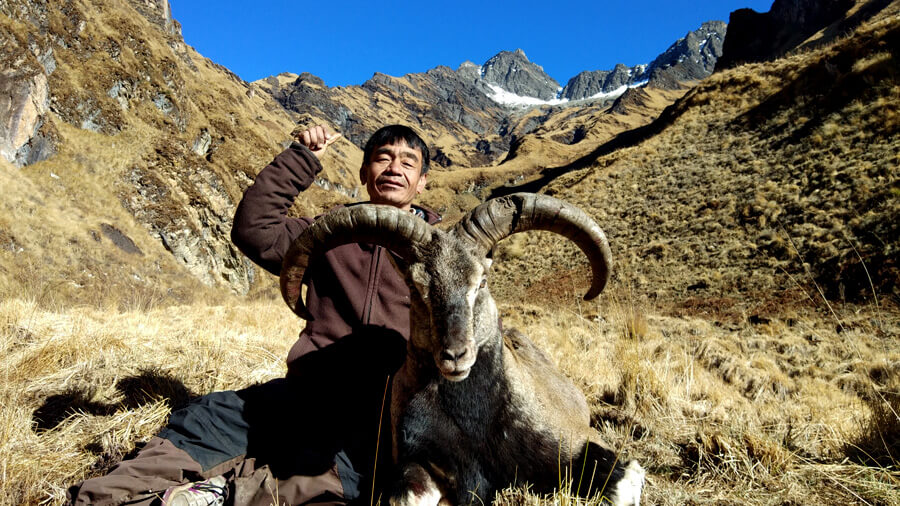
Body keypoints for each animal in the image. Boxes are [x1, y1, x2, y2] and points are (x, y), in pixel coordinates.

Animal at [280, 193, 645, 505]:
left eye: (481, 281)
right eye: (415, 287)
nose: (455, 355)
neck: (477, 421)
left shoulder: (577, 442)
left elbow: (622, 481)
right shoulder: (422, 462)